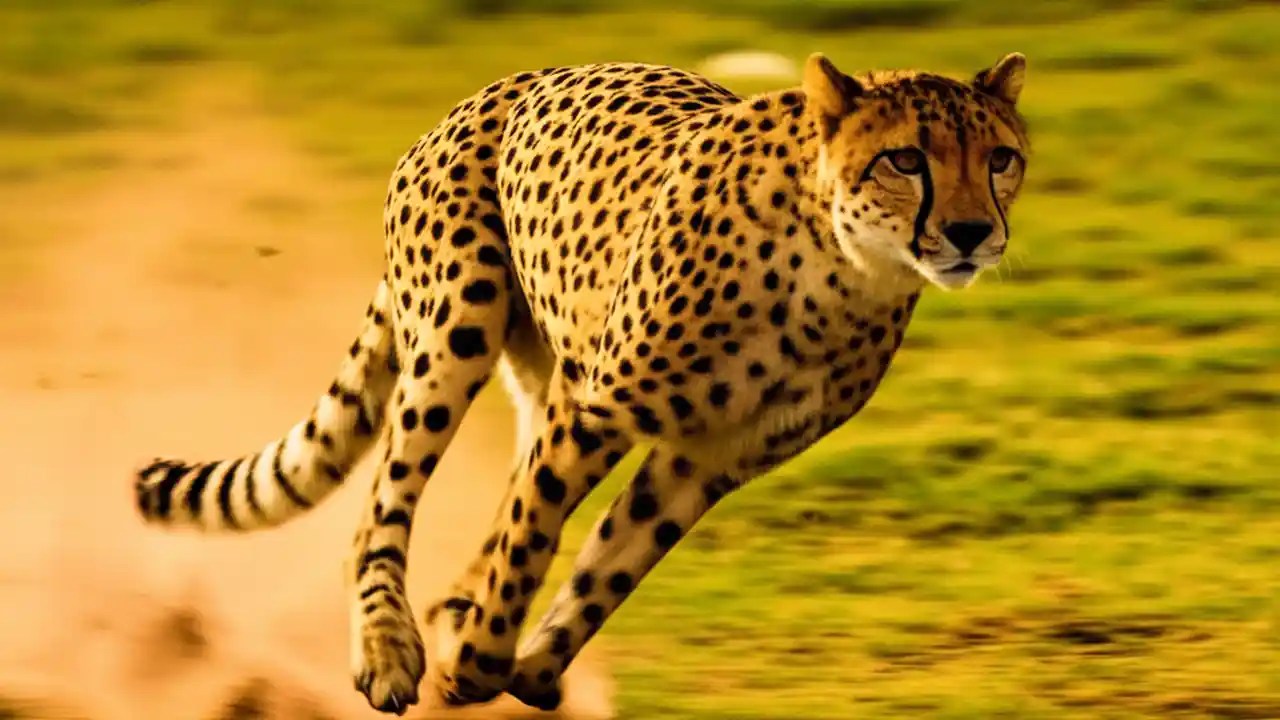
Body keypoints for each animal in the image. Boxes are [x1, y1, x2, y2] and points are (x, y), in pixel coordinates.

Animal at [134, 51, 1031, 714]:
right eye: (904, 159)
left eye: (1001, 160)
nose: (970, 233)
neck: (841, 272)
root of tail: (499, 88)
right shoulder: (596, 409)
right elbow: (531, 543)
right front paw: (475, 663)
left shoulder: (706, 460)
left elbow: (611, 568)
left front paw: (527, 668)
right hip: (458, 322)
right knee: (387, 501)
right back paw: (392, 650)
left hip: (533, 367)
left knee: (495, 501)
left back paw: (449, 615)